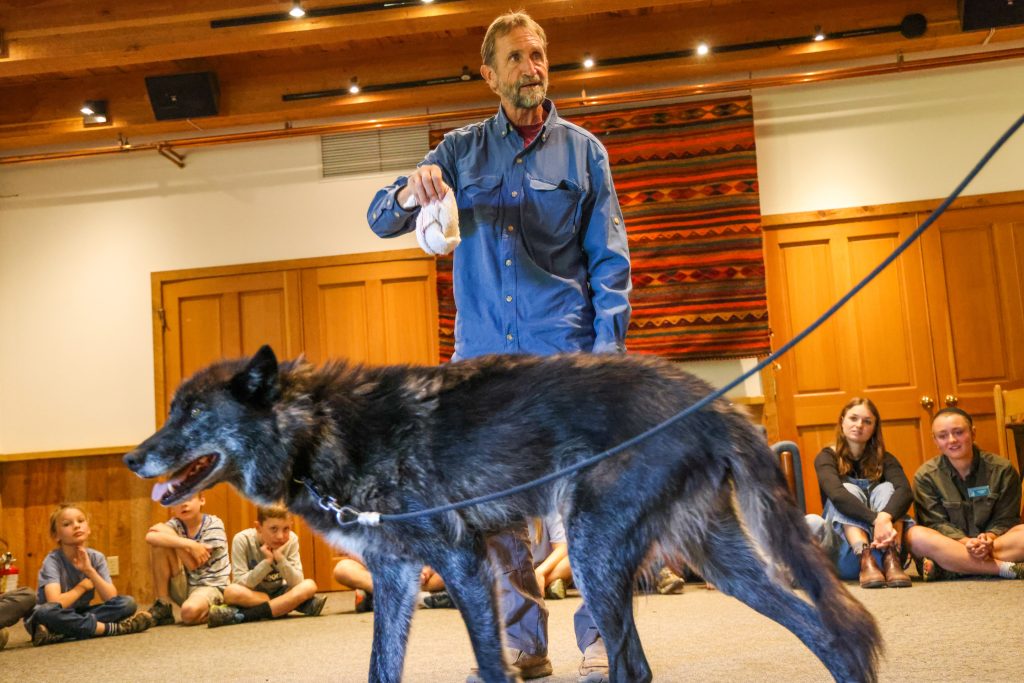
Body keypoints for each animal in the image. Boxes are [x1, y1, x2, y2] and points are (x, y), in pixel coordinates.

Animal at [125, 345, 881, 683]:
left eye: (190, 414)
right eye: (172, 410)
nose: (132, 458)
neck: (319, 430)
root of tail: (714, 403)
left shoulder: (461, 563)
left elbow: (491, 664)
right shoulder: (395, 579)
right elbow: (380, 667)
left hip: (593, 551)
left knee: (633, 665)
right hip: (719, 561)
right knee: (823, 626)